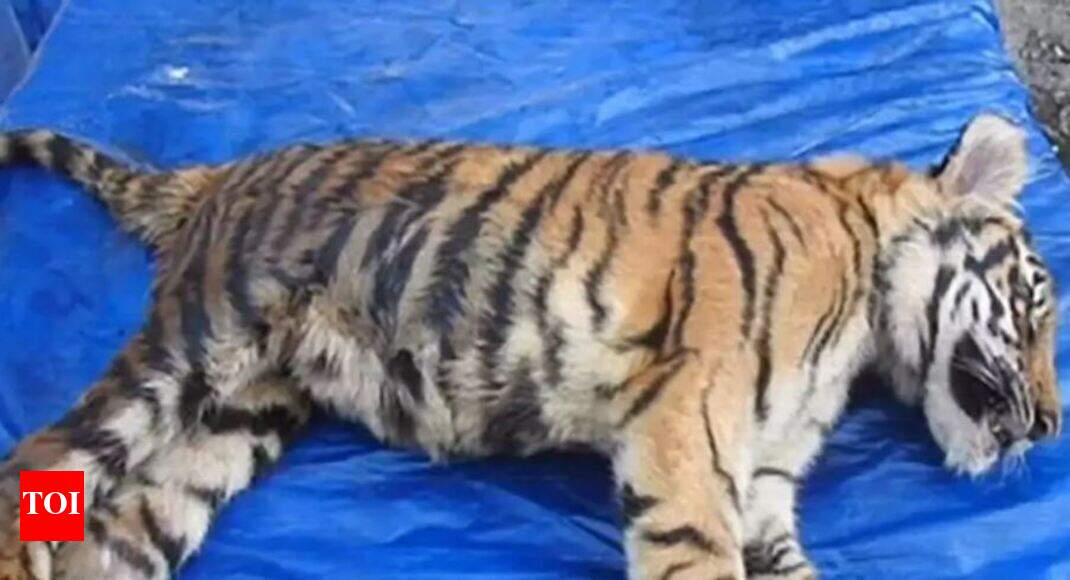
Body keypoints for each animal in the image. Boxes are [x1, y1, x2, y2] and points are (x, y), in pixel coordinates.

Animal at [0, 112, 1060, 580]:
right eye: (1039, 306)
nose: (1050, 425)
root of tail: (222, 174)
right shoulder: (688, 434)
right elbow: (695, 556)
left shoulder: (761, 486)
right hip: (196, 342)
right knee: (41, 462)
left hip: (239, 419)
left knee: (120, 534)